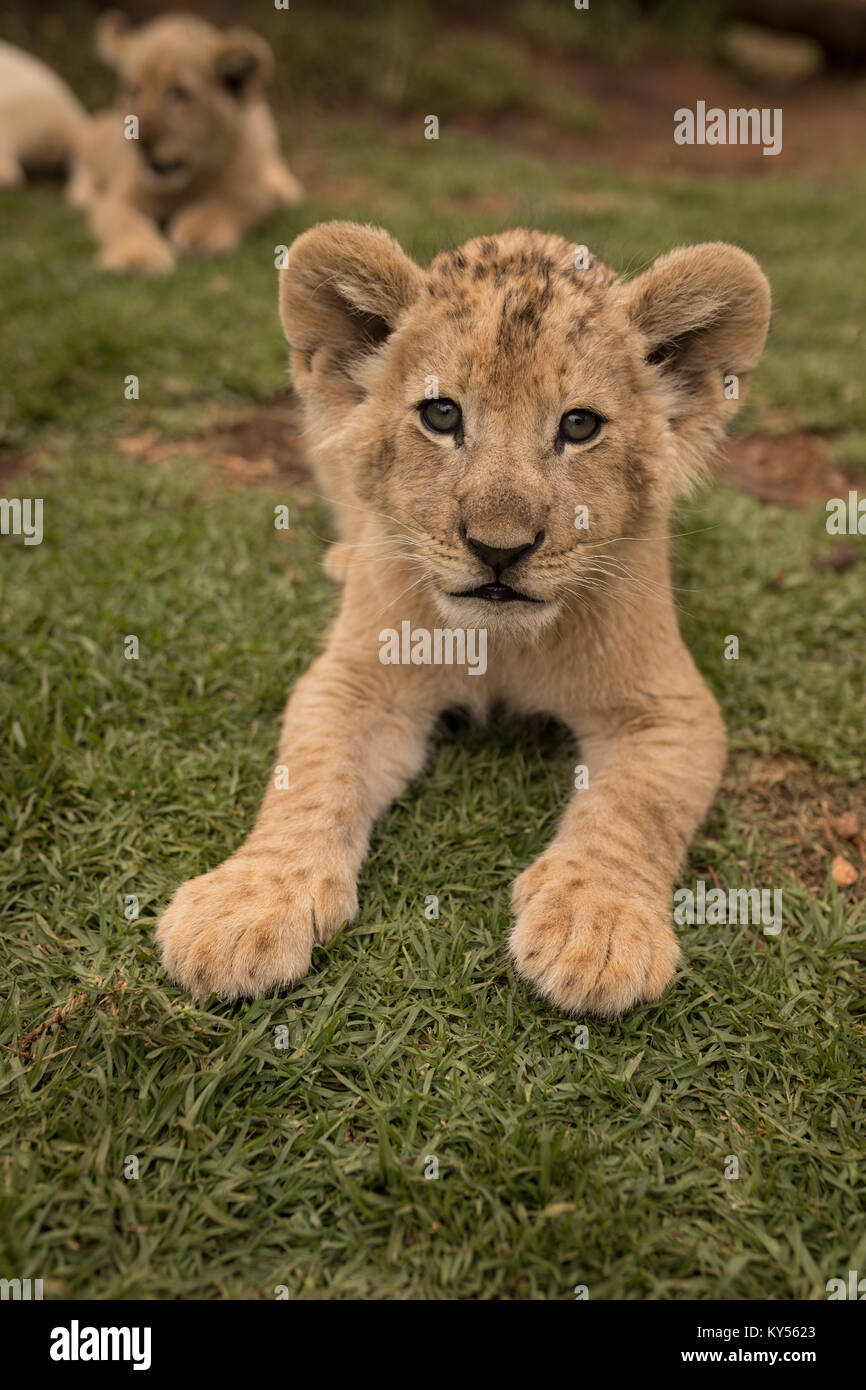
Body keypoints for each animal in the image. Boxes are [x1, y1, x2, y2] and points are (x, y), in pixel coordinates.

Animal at [74, 11, 303, 273]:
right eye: (134, 89)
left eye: (178, 93)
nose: (140, 143)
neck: (185, 180)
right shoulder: (116, 200)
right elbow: (123, 221)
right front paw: (138, 256)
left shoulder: (257, 195)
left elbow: (235, 203)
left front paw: (200, 231)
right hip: (98, 135)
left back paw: (285, 187)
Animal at [156, 223, 770, 1017]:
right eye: (441, 415)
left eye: (580, 425)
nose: (499, 549)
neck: (496, 645)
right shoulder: (356, 682)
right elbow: (311, 777)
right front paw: (244, 906)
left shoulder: (670, 706)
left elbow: (635, 809)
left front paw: (597, 926)